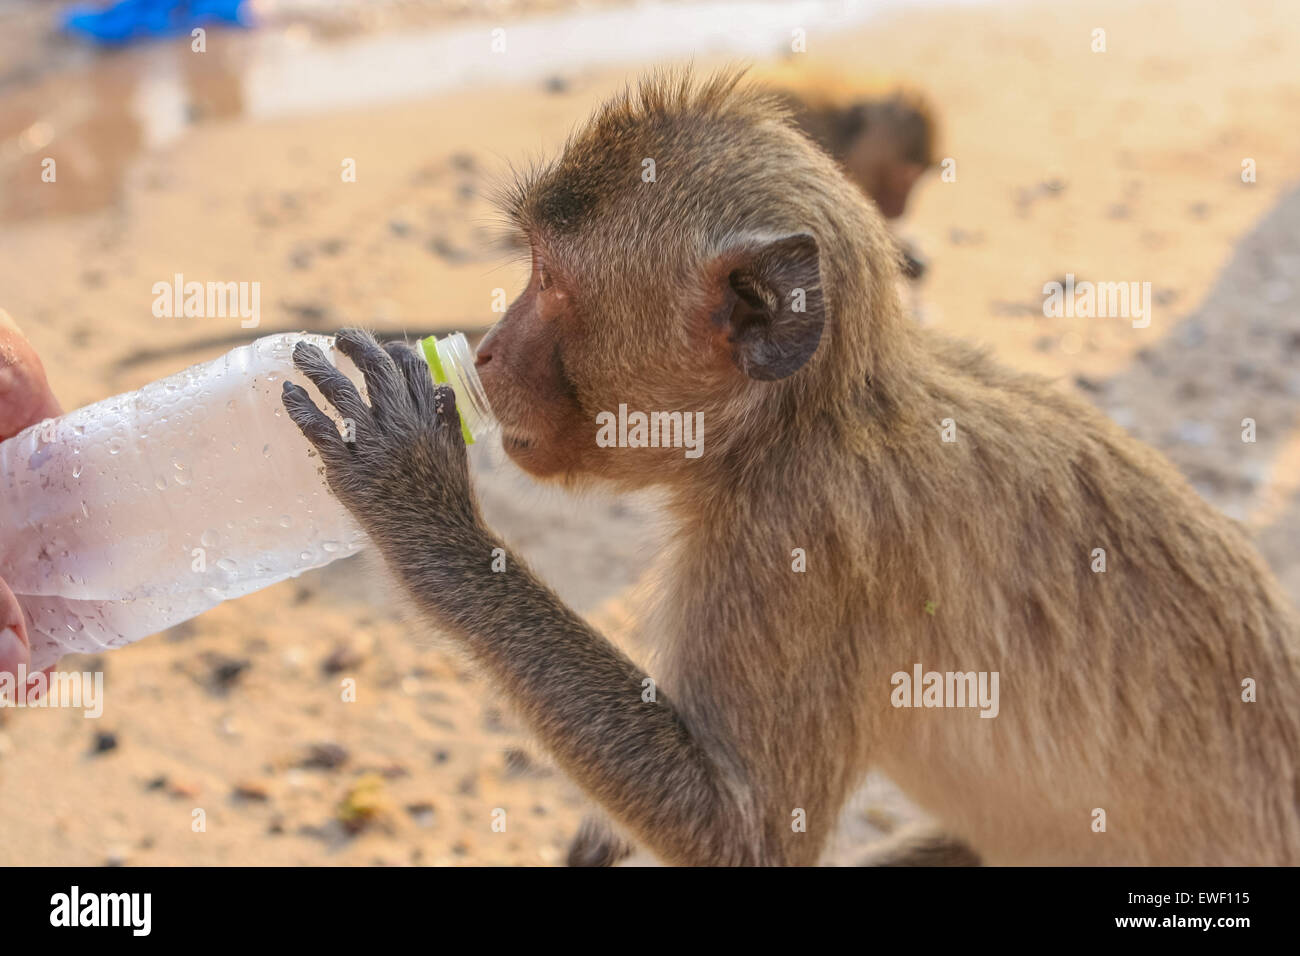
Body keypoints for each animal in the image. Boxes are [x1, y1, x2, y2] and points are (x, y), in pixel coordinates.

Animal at [281, 68, 1300, 866]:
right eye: (528, 263)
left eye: (550, 284)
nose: (487, 351)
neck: (804, 419)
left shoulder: (795, 544)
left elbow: (748, 834)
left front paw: (416, 502)